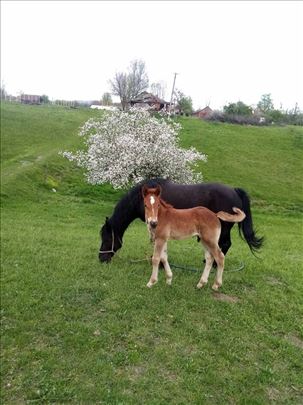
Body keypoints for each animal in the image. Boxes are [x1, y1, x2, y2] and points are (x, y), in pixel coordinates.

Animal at [100, 178, 264, 262]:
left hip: (223, 227)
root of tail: (234, 190)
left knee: (225, 244)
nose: (101, 258)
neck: (142, 199)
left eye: (106, 238)